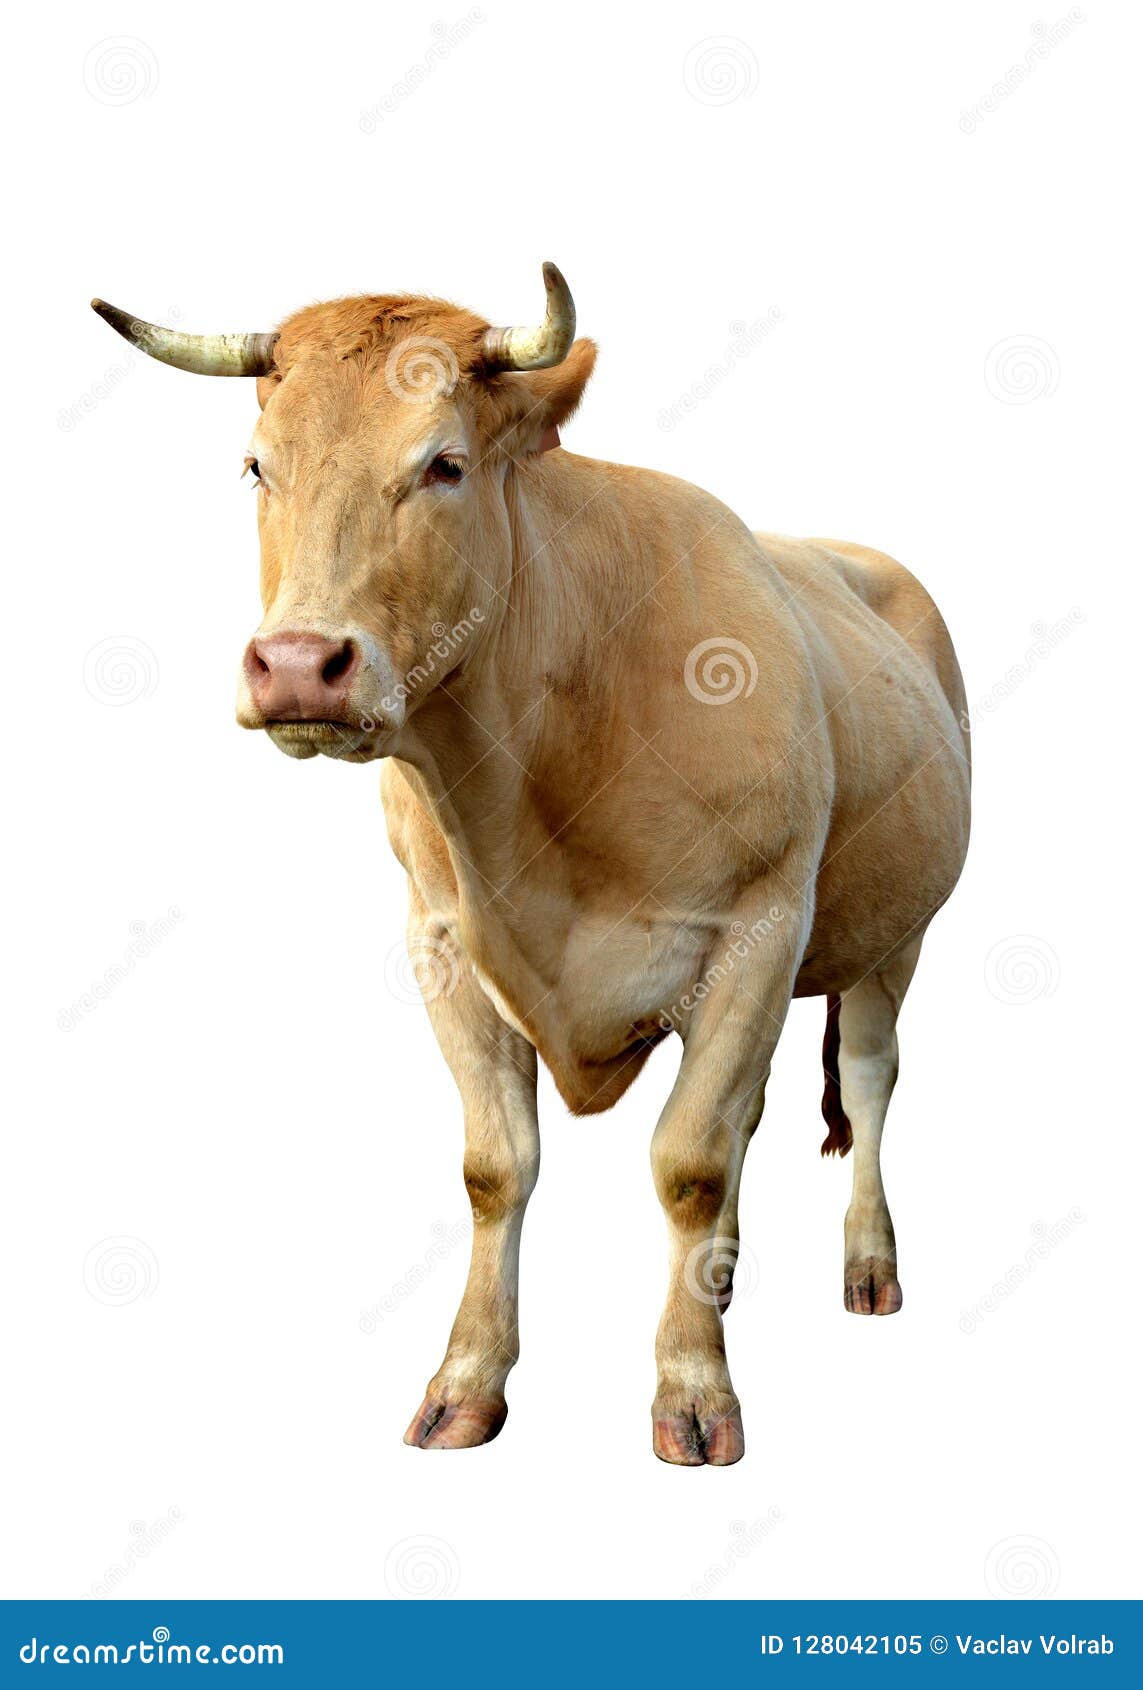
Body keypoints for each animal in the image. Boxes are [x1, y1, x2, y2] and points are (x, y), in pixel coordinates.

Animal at [92, 265, 970, 1465]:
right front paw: (466, 1382)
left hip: (897, 929)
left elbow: (688, 1160)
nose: (297, 665)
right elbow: (497, 1166)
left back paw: (868, 1264)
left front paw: (693, 1391)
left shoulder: (755, 931)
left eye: (443, 464)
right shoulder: (441, 942)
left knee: (871, 1080)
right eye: (256, 466)